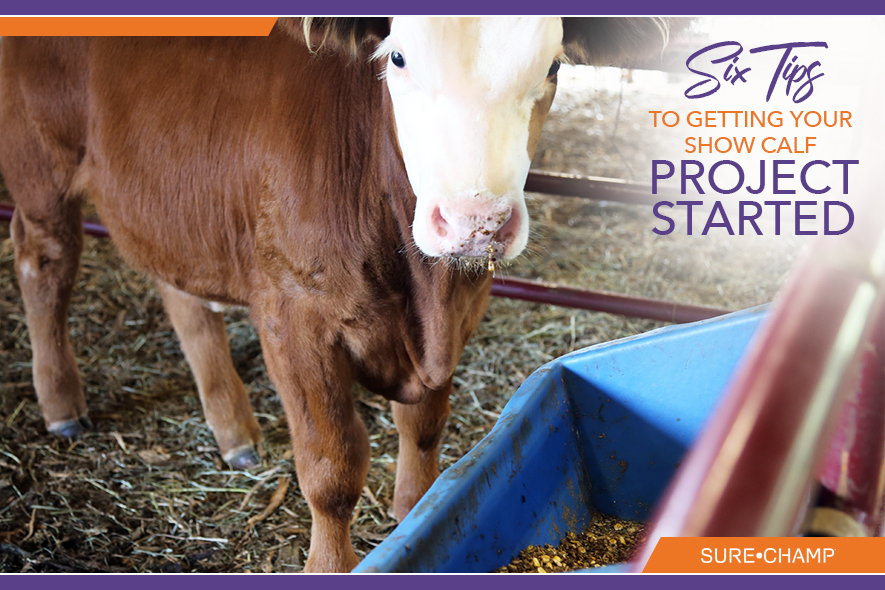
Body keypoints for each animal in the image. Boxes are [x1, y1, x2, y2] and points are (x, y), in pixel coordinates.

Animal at [0, 17, 671, 572]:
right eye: (397, 56)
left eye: (554, 65)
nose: (476, 220)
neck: (423, 290)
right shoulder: (294, 317)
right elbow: (332, 468)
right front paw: (332, 563)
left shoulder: (455, 317)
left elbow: (423, 428)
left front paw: (420, 518)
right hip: (40, 169)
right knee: (43, 263)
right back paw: (61, 403)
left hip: (170, 201)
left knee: (180, 296)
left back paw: (232, 429)